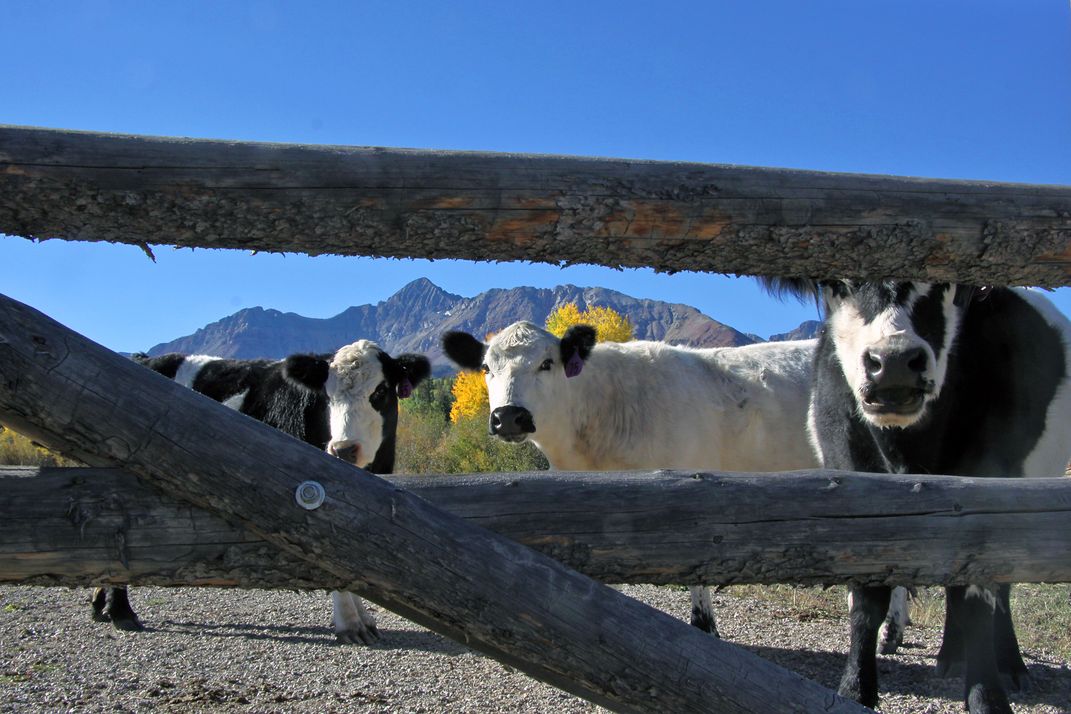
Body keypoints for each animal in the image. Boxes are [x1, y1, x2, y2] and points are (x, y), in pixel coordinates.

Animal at [92, 340, 430, 644]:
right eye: (327, 395)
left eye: (380, 391)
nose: (344, 449)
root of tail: (143, 358)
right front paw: (350, 623)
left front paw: (363, 619)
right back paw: (121, 611)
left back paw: (100, 605)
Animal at [765, 279, 1071, 713]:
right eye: (837, 284)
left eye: (949, 285)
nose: (893, 362)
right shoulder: (851, 483)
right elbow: (868, 598)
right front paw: (856, 689)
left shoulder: (990, 488)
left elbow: (977, 595)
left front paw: (987, 697)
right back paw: (952, 656)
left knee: (999, 586)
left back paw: (1009, 664)